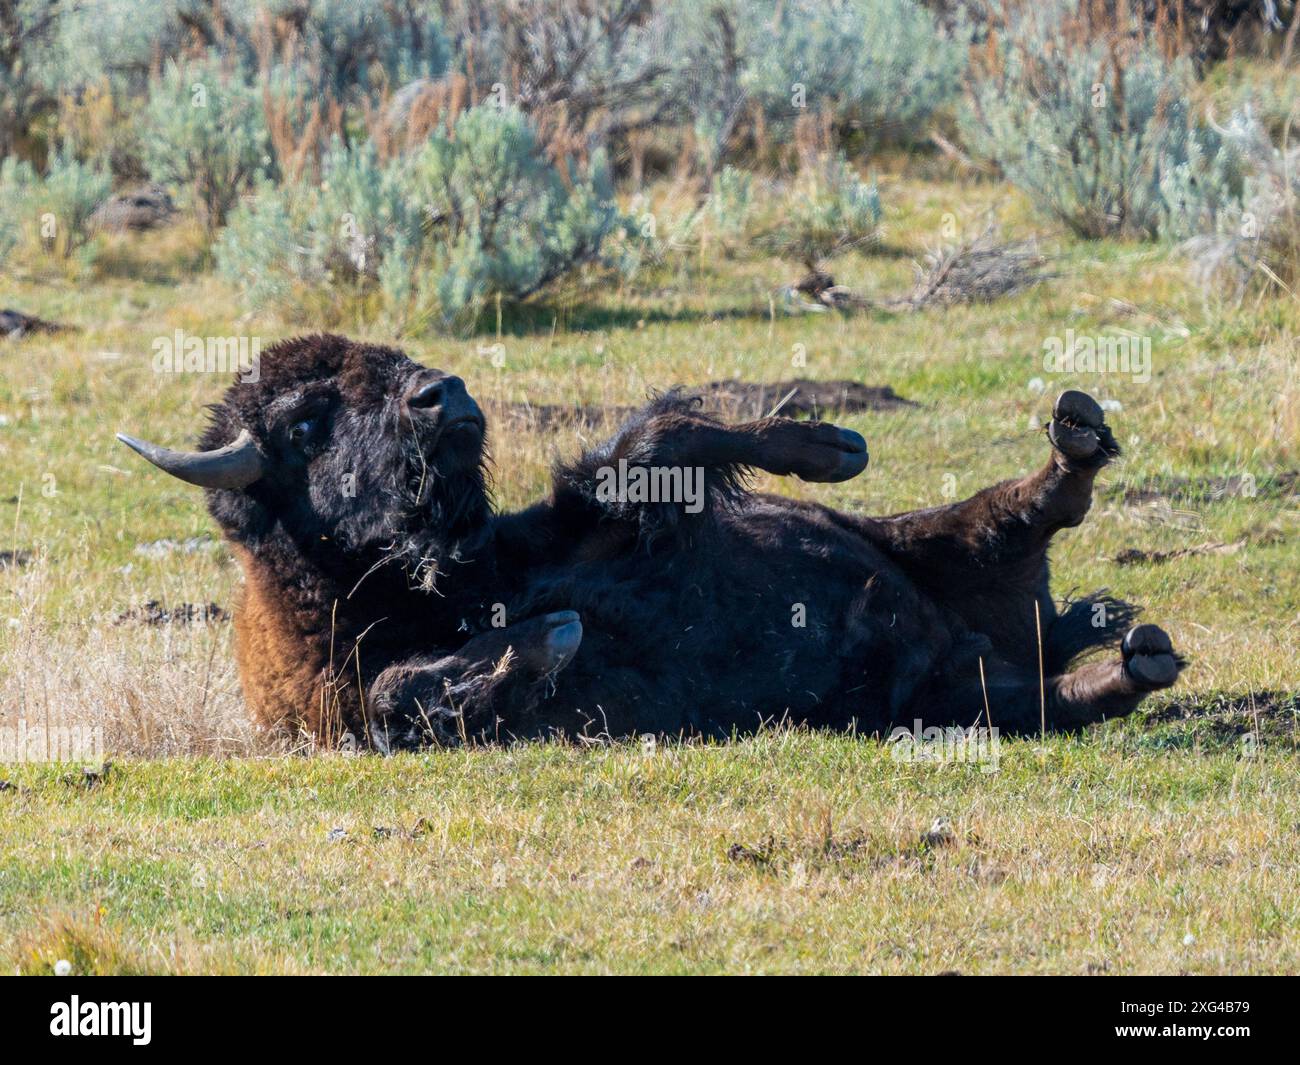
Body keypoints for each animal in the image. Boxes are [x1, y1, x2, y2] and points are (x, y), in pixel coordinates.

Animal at [119, 334, 1182, 749]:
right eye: (304, 423)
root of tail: (1018, 627)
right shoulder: (351, 704)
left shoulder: (574, 528)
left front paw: (831, 445)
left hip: (935, 552)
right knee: (1049, 694)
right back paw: (1135, 653)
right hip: (948, 693)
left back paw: (1078, 439)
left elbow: (655, 446)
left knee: (1022, 511)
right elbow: (409, 691)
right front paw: (548, 641)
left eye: (386, 360)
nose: (441, 395)